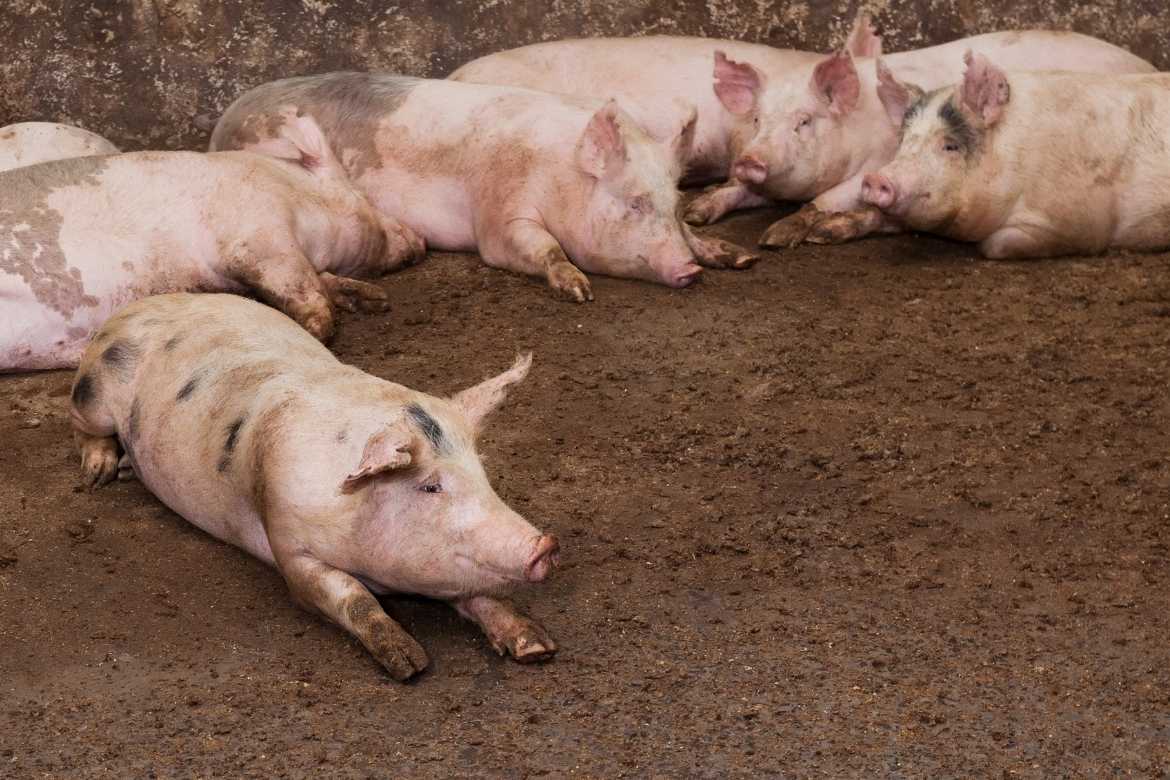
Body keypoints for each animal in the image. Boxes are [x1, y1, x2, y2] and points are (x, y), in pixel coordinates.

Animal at [1, 114, 422, 371]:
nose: (418, 239)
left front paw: (374, 300)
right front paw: (317, 328)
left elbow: (318, 279)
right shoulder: (259, 233)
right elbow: (298, 281)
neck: (293, 192)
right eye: (364, 196)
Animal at [71, 293, 560, 679]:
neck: (351, 506)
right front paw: (409, 662)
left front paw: (537, 646)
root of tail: (141, 303)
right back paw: (100, 474)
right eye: (430, 487)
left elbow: (480, 593)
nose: (546, 545)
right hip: (91, 394)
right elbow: (351, 597)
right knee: (86, 427)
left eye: (482, 474)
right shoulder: (290, 548)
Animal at [208, 74, 760, 300]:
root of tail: (224, 120)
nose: (688, 271)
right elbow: (539, 246)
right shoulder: (498, 210)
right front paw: (578, 289)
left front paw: (738, 257)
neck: (559, 172)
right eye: (634, 203)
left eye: (676, 203)